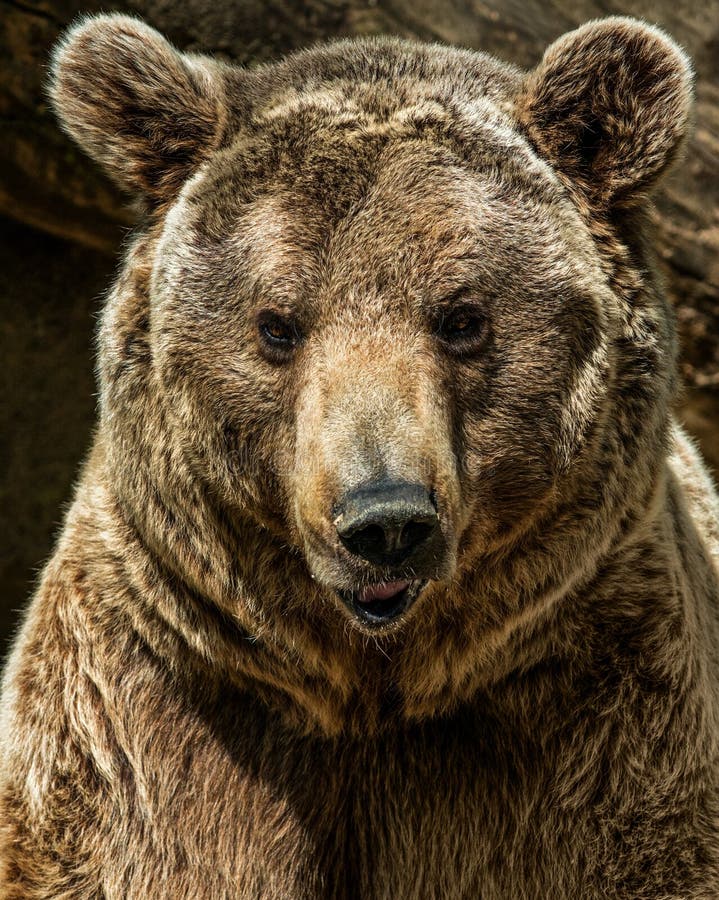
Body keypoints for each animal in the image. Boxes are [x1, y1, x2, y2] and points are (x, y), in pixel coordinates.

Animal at [2, 10, 719, 898]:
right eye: (277, 323)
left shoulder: (606, 730)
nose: (385, 521)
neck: (368, 684)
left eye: (461, 317)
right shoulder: (150, 720)